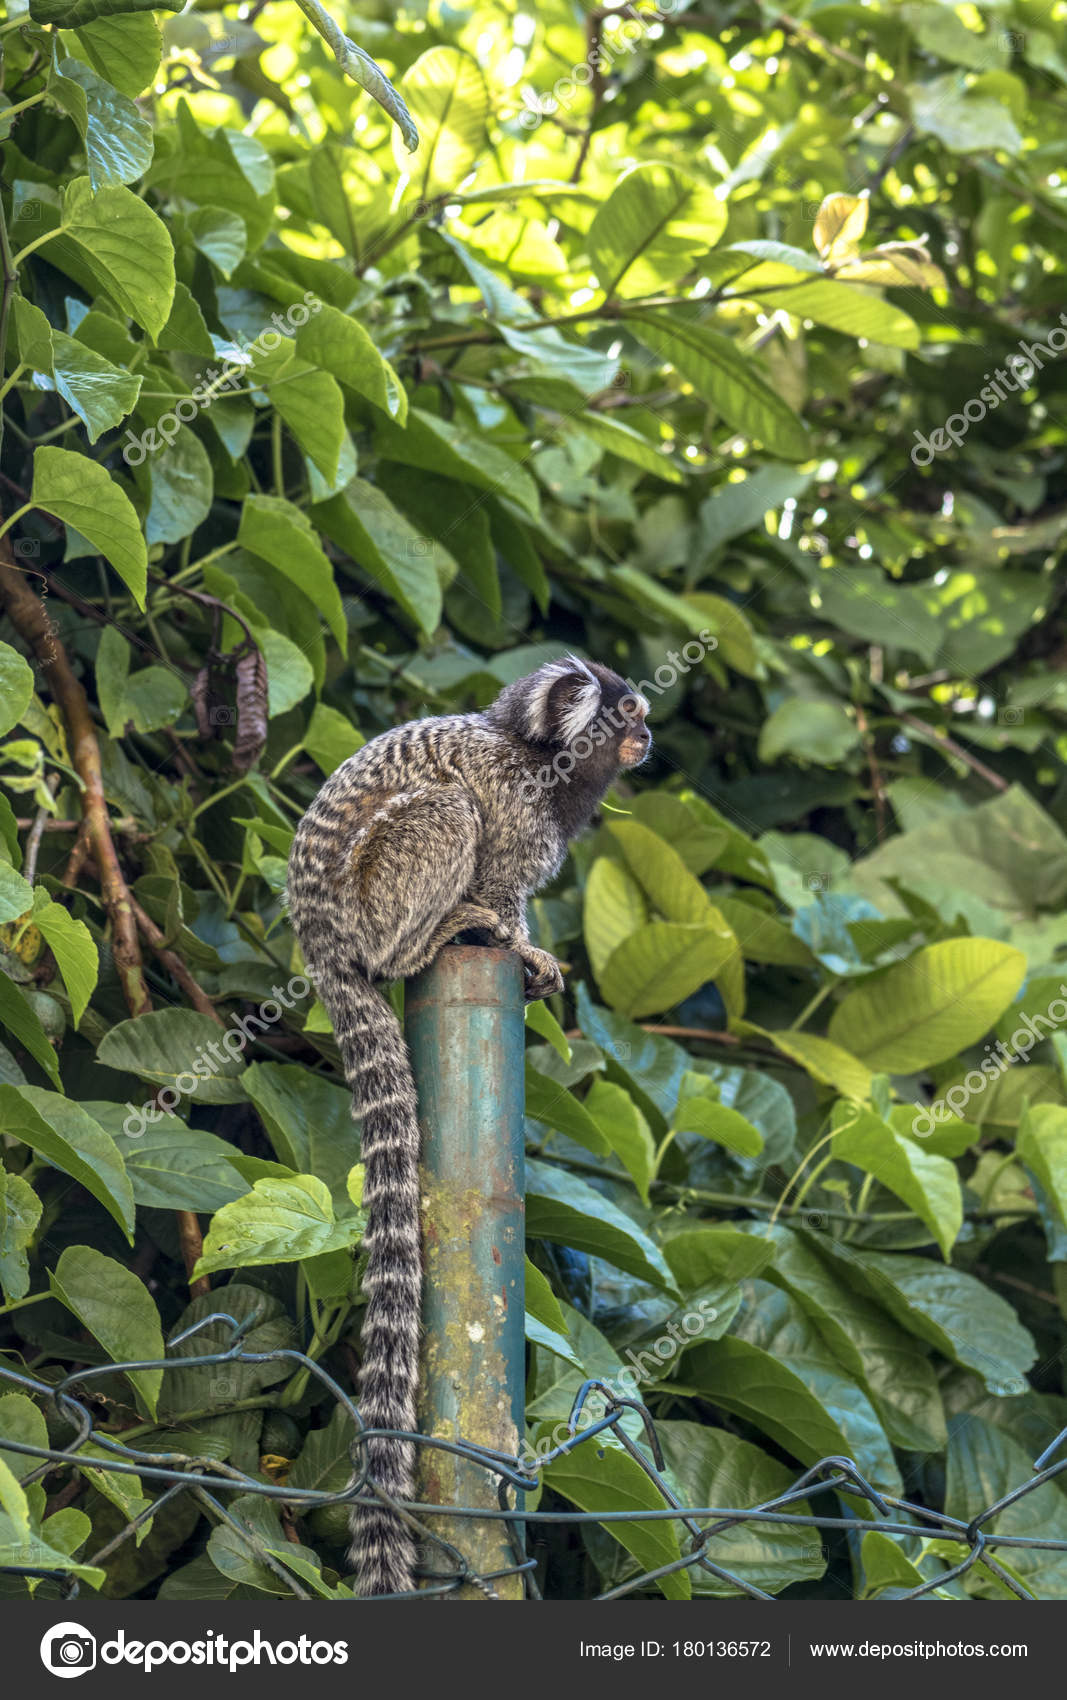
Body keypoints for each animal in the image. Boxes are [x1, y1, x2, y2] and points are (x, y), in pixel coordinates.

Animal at [286, 657, 651, 1597]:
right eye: (628, 710)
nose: (647, 735)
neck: (543, 757)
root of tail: (321, 948)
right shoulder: (512, 807)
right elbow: (496, 879)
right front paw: (517, 947)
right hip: (376, 892)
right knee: (444, 814)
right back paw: (425, 942)